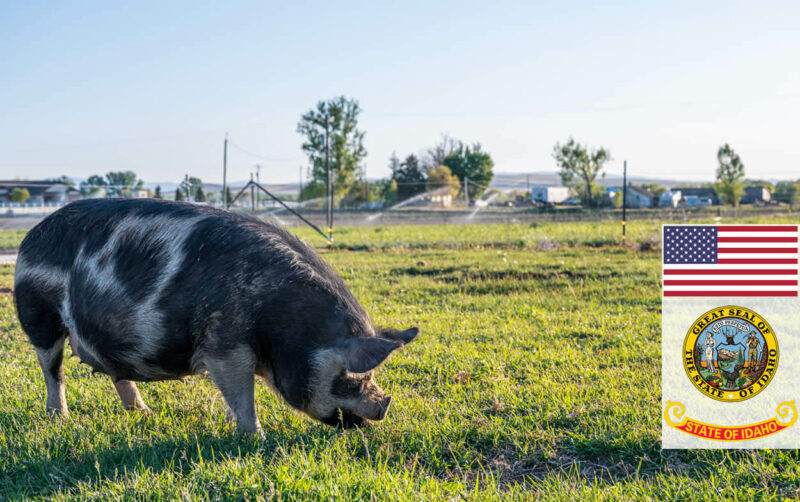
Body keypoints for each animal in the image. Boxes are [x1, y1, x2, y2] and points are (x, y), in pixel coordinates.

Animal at [14, 198, 419, 433]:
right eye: (352, 376)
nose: (383, 407)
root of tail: (29, 238)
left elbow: (236, 396)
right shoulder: (224, 342)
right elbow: (241, 394)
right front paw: (256, 438)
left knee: (117, 375)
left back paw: (144, 414)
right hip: (38, 313)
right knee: (53, 370)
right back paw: (59, 418)